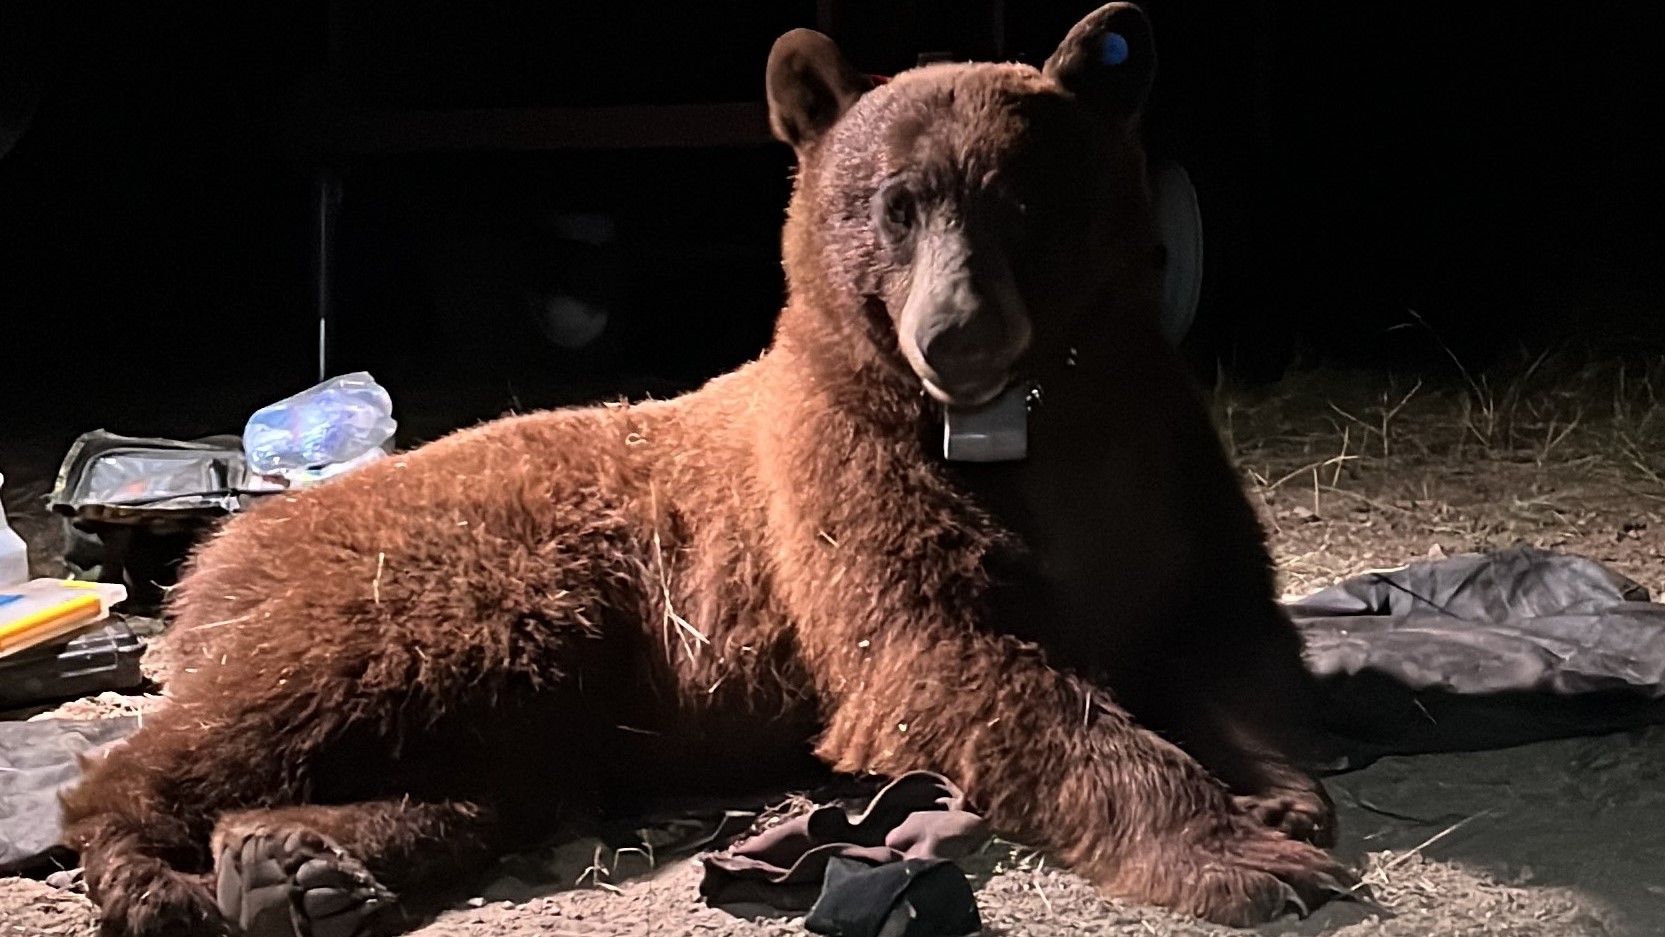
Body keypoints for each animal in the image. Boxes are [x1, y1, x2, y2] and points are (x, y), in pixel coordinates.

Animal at [59, 5, 1354, 935]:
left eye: (1024, 200)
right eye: (895, 204)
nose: (957, 335)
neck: (1018, 421)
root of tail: (224, 546)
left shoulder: (1162, 462)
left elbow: (1228, 626)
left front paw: (1276, 787)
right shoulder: (848, 494)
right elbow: (960, 663)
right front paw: (1242, 851)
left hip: (525, 678)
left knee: (485, 777)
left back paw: (299, 863)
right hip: (436, 599)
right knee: (249, 721)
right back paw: (163, 869)